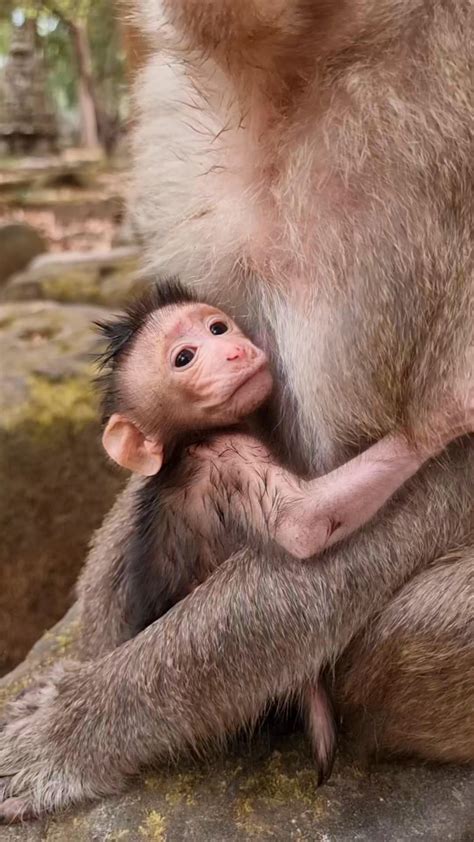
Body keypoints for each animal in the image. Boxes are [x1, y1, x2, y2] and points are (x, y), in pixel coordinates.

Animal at [0, 0, 472, 823]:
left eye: (216, 339)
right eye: (193, 348)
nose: (226, 358)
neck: (289, 78)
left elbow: (416, 487)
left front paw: (76, 724)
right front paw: (91, 652)